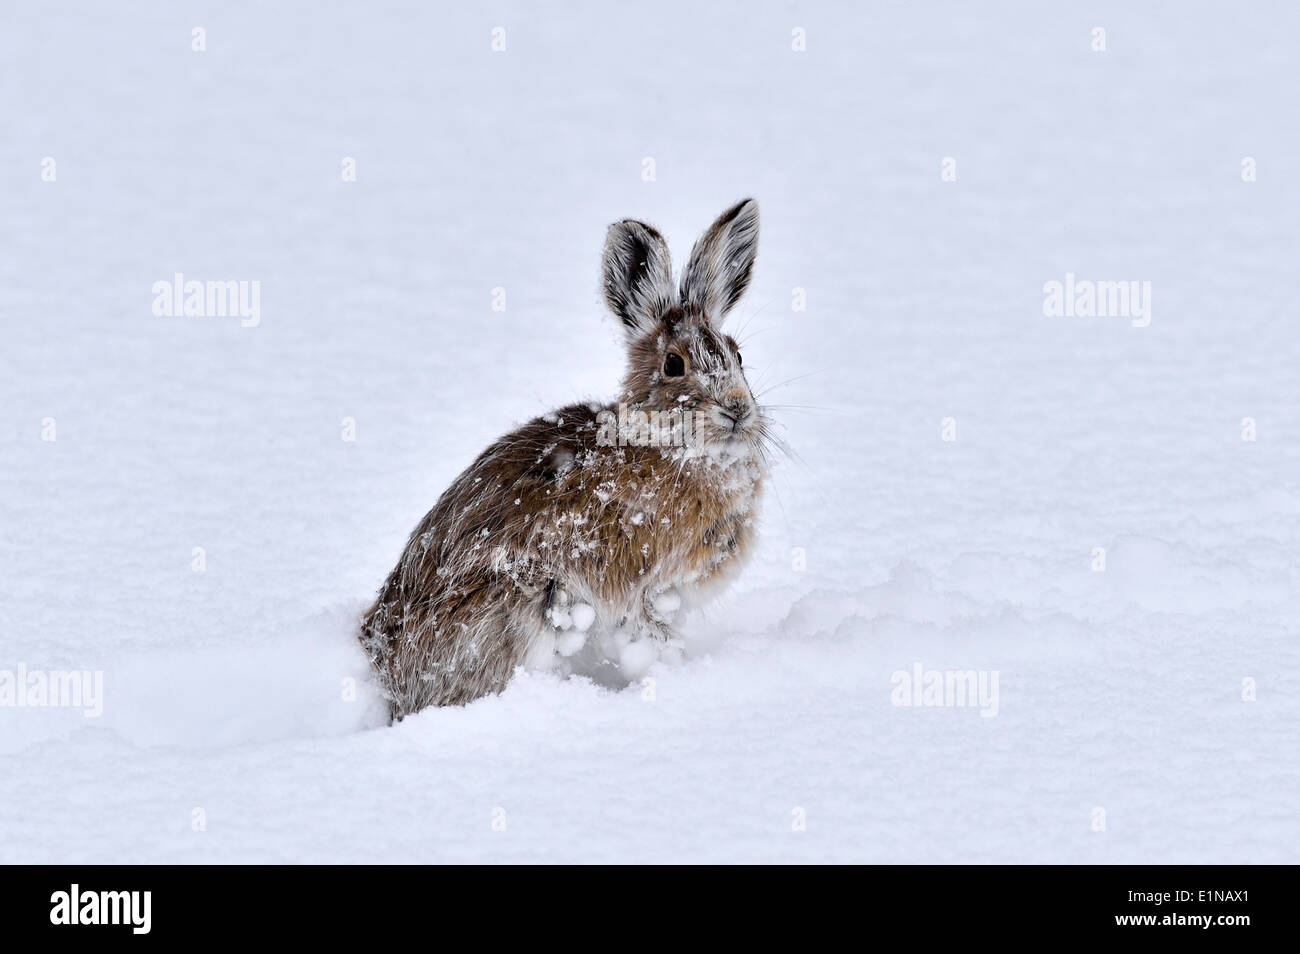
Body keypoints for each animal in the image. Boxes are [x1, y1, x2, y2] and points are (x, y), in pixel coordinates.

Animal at [360, 199, 773, 719]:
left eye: (739, 357)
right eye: (674, 364)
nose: (737, 410)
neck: (675, 449)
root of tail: (388, 674)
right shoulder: (641, 589)